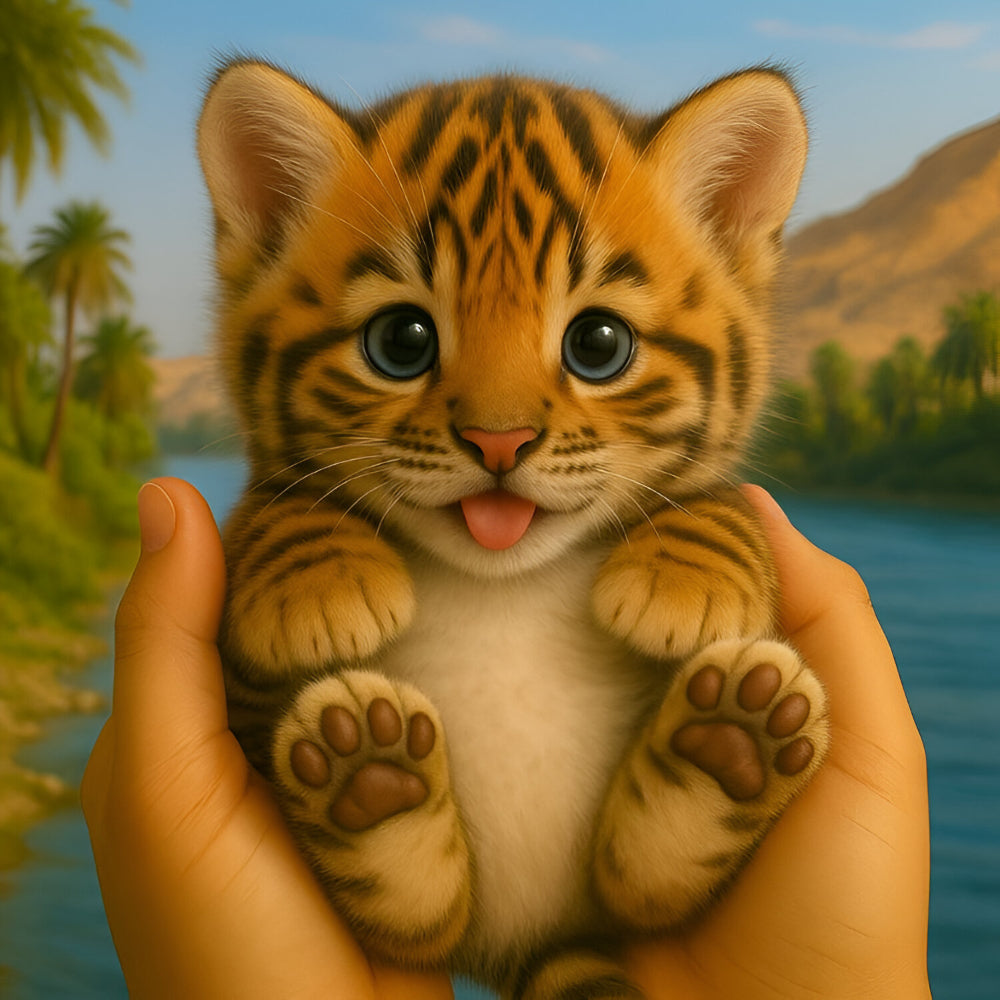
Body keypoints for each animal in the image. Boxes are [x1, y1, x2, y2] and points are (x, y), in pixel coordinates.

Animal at [197, 59, 830, 999]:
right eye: (401, 341)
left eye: (598, 344)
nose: (500, 441)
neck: (505, 584)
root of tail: (518, 939)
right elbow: (273, 503)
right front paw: (319, 585)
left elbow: (724, 498)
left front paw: (689, 578)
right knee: (420, 915)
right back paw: (369, 773)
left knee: (642, 884)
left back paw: (732, 741)